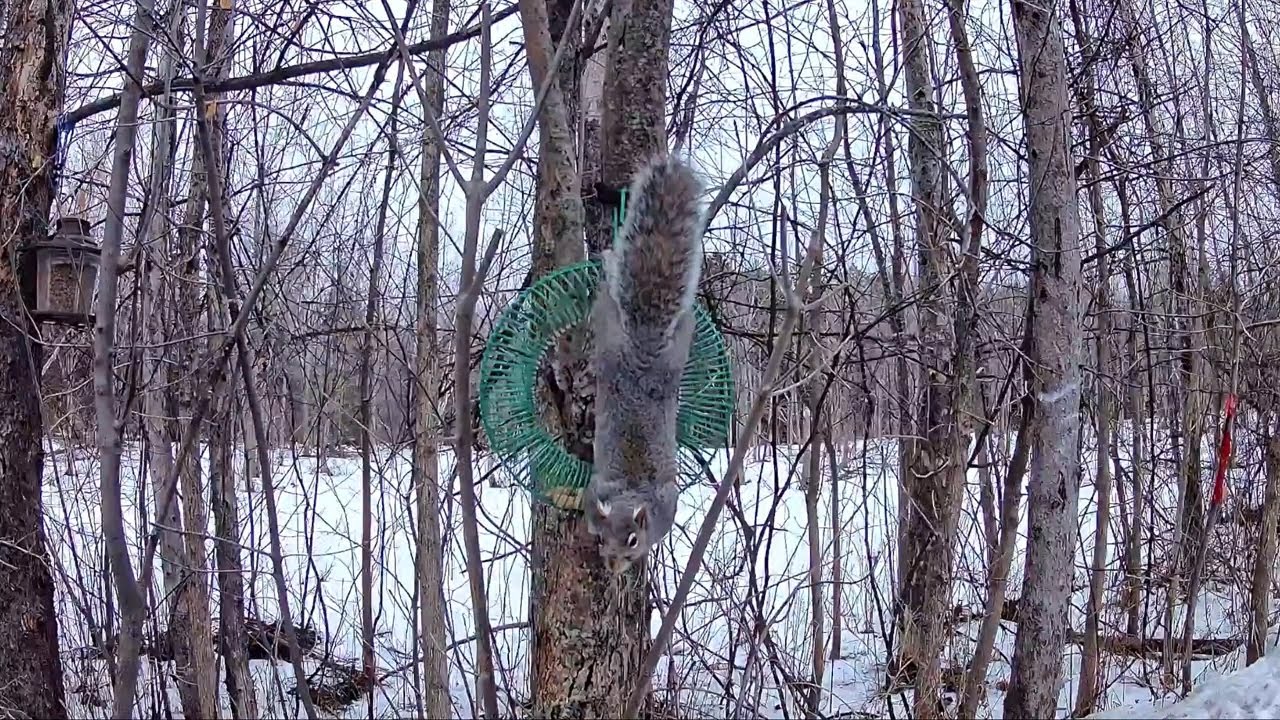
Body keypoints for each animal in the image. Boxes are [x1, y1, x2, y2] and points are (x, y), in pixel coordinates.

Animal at [583, 154, 706, 575]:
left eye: (634, 540)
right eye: (601, 538)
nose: (614, 566)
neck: (630, 495)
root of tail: (645, 343)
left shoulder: (666, 513)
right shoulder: (593, 499)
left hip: (655, 350)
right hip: (613, 337)